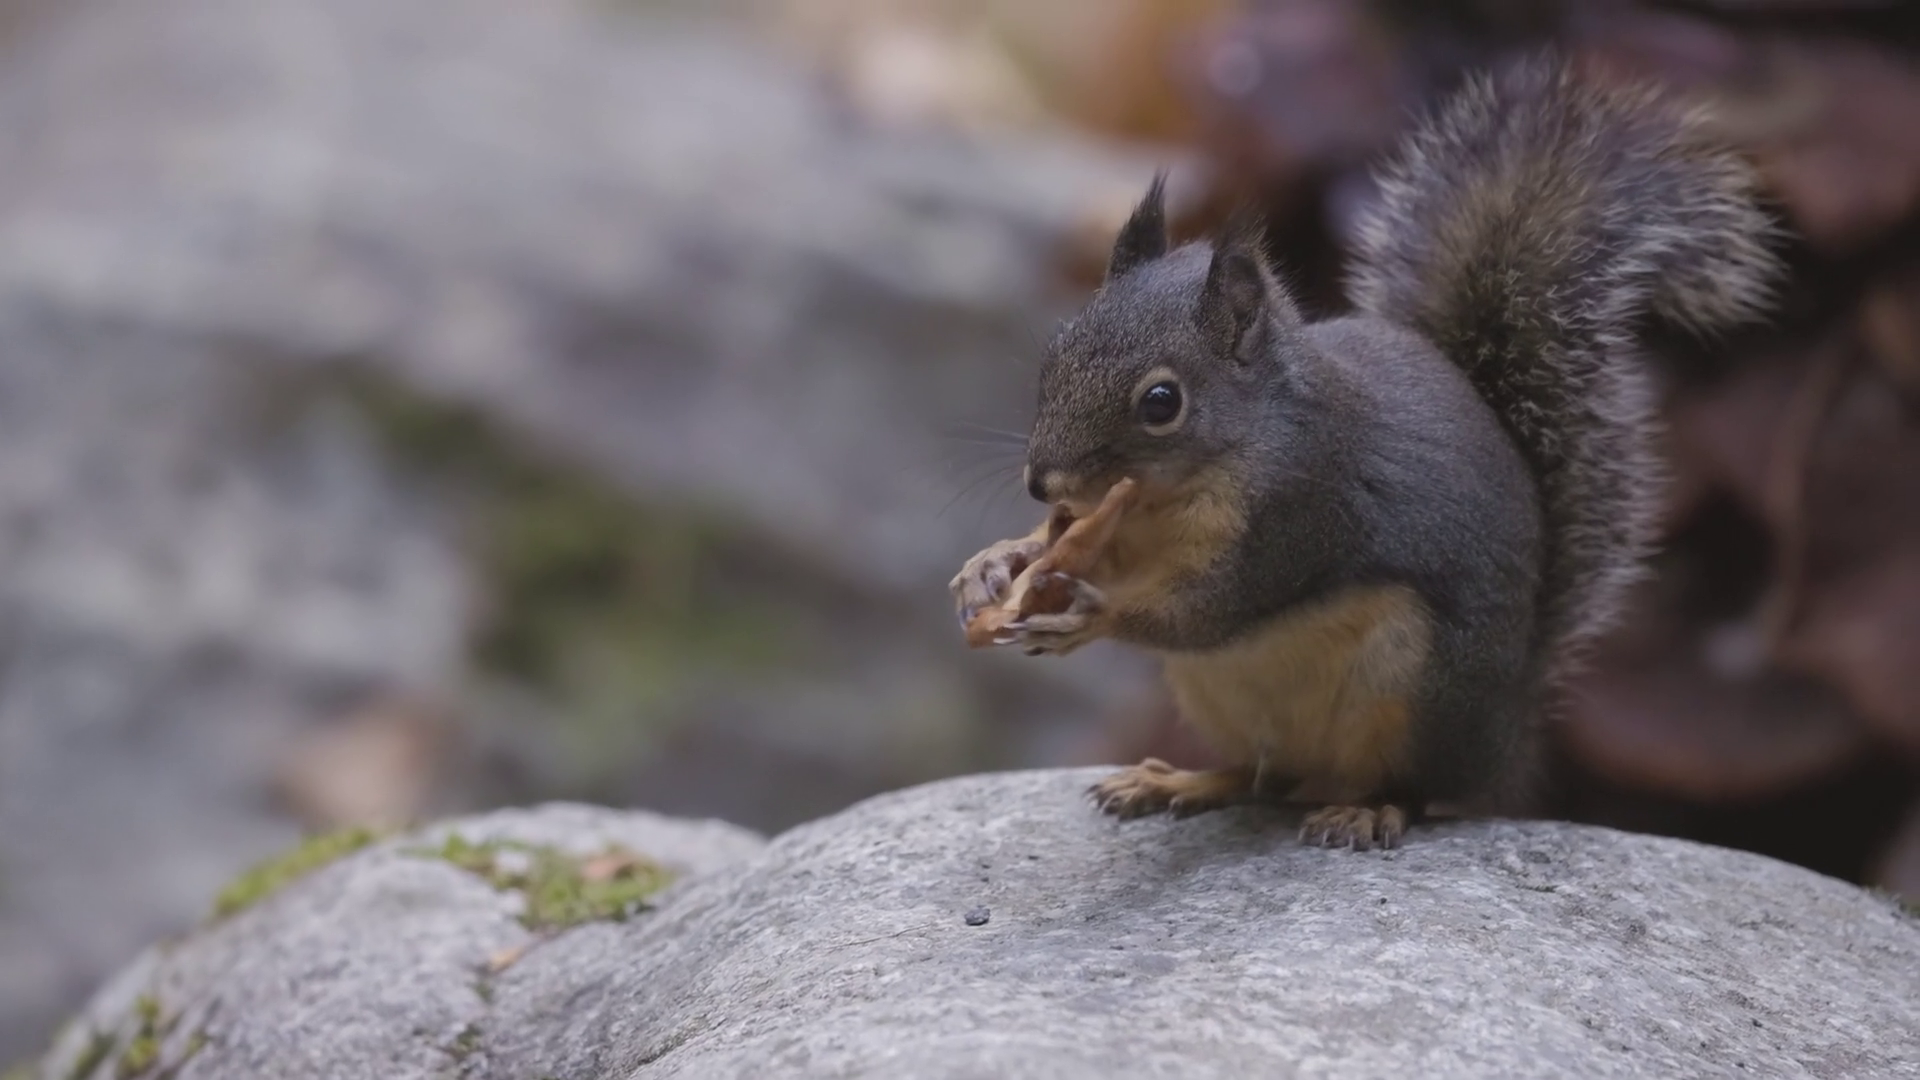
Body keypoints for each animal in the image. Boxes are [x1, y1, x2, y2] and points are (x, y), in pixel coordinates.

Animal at [948, 56, 1783, 849]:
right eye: (1055, 351)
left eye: (1161, 403)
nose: (1042, 482)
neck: (1180, 486)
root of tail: (1509, 731)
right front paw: (999, 562)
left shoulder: (1298, 508)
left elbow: (1209, 610)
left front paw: (1086, 612)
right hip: (1218, 700)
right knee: (1265, 776)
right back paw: (1179, 781)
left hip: (1413, 694)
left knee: (1404, 787)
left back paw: (1368, 810)